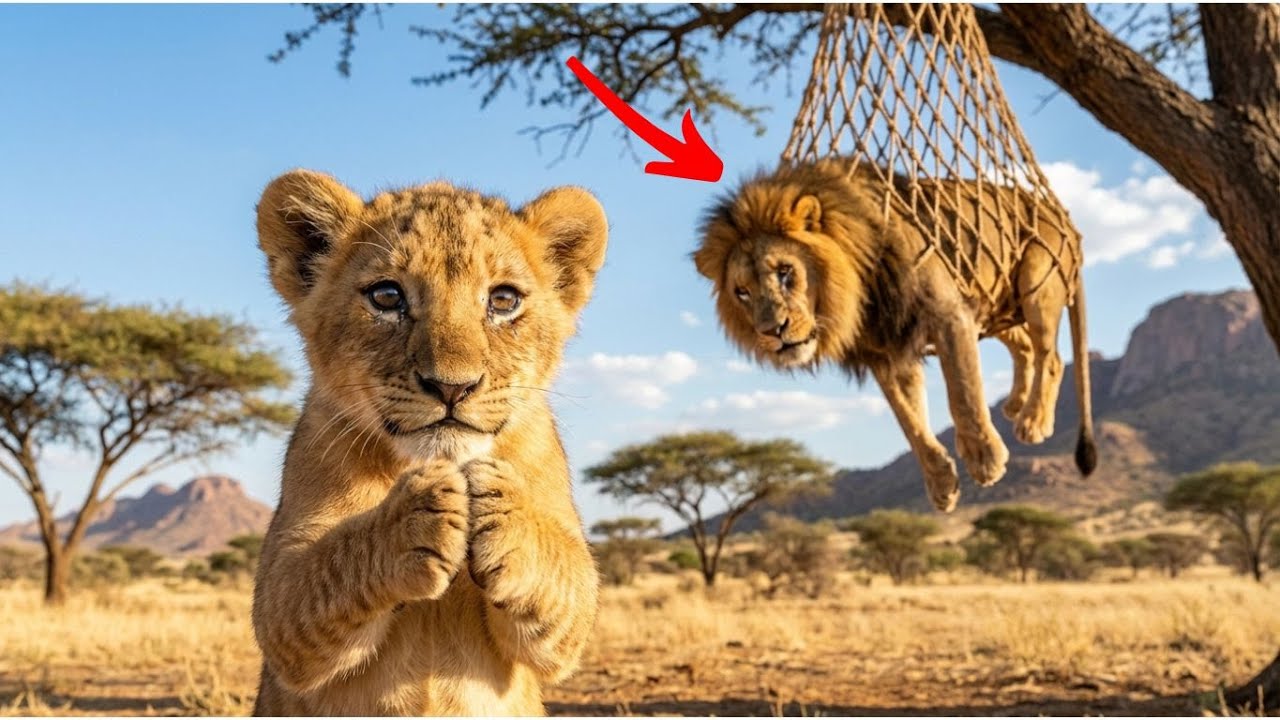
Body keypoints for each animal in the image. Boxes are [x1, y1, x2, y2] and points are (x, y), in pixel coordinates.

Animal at [250, 169, 605, 715]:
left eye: (503, 300)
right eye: (387, 297)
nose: (452, 387)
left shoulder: (568, 613)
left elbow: (568, 585)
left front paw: (500, 509)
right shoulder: (281, 594)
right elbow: (326, 568)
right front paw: (421, 513)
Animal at [694, 159, 1096, 512]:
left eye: (784, 271)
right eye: (742, 292)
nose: (772, 331)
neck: (857, 294)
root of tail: (1059, 213)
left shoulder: (947, 313)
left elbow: (963, 391)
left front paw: (984, 458)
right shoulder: (886, 350)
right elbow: (909, 420)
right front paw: (940, 482)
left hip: (1035, 283)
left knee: (1051, 356)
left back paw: (1033, 420)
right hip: (995, 303)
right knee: (1025, 346)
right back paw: (1015, 404)